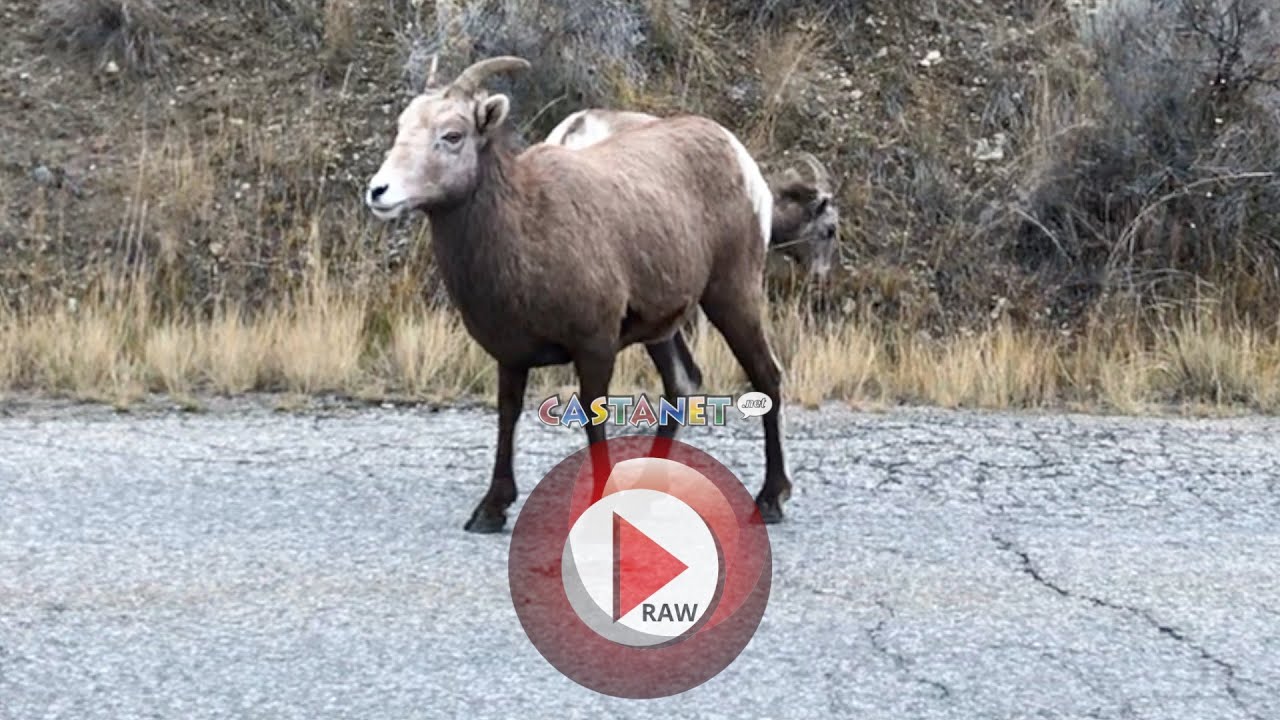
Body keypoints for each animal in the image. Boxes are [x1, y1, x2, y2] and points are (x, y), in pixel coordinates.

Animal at [365, 56, 794, 532]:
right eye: (402, 128)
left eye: (452, 135)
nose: (379, 192)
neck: (525, 230)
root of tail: (736, 153)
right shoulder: (511, 355)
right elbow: (507, 414)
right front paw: (491, 509)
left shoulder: (594, 345)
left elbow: (593, 414)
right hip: (663, 329)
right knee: (682, 383)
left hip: (731, 294)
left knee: (767, 376)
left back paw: (771, 500)